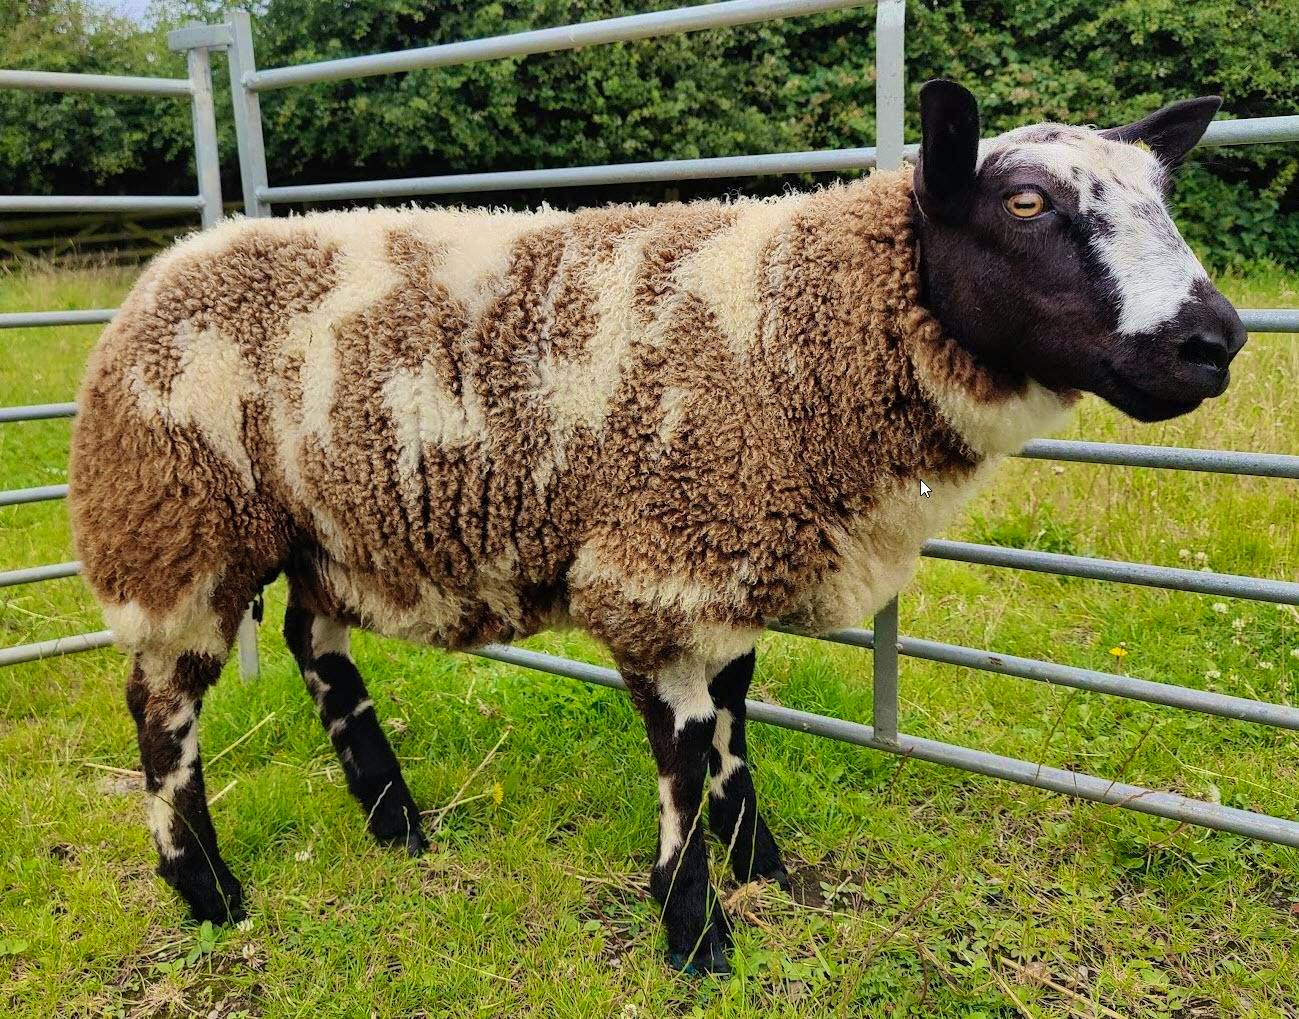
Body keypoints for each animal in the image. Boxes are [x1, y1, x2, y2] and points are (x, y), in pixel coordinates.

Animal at [68, 80, 1244, 974]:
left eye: (1162, 198)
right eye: (1028, 202)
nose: (1215, 340)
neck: (791, 329)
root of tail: (179, 253)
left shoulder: (727, 556)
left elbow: (733, 729)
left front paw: (767, 869)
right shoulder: (659, 567)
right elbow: (683, 752)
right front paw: (694, 931)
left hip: (326, 522)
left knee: (316, 647)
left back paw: (397, 826)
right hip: (174, 524)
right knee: (161, 708)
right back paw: (208, 888)